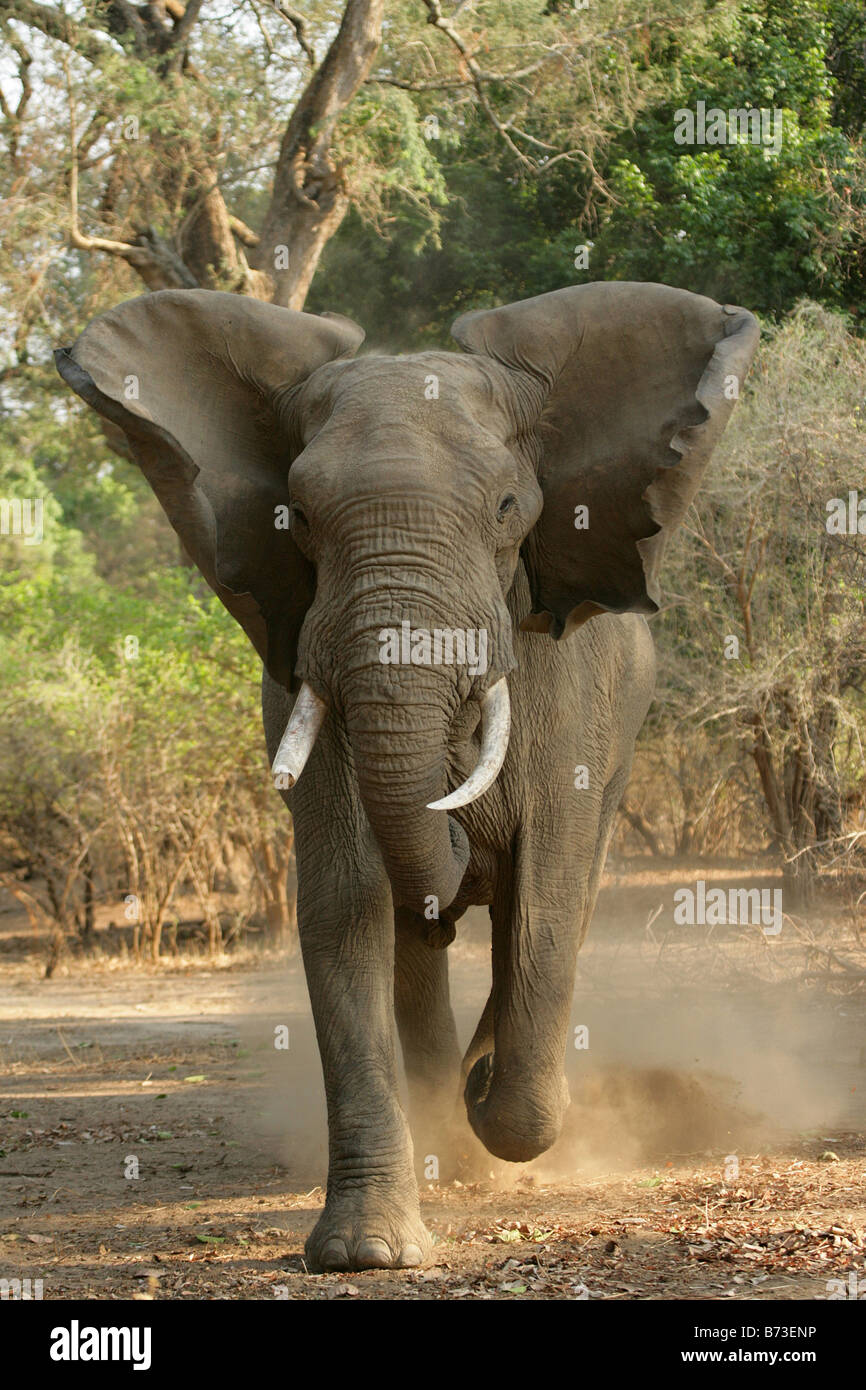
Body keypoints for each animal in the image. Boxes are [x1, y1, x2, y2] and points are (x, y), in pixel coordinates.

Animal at [56, 281, 759, 1273]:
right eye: (300, 520)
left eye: (507, 507)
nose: (461, 820)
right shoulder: (301, 678)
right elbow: (345, 902)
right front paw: (366, 1250)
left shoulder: (568, 687)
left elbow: (545, 896)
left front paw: (488, 1088)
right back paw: (444, 1126)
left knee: (555, 907)